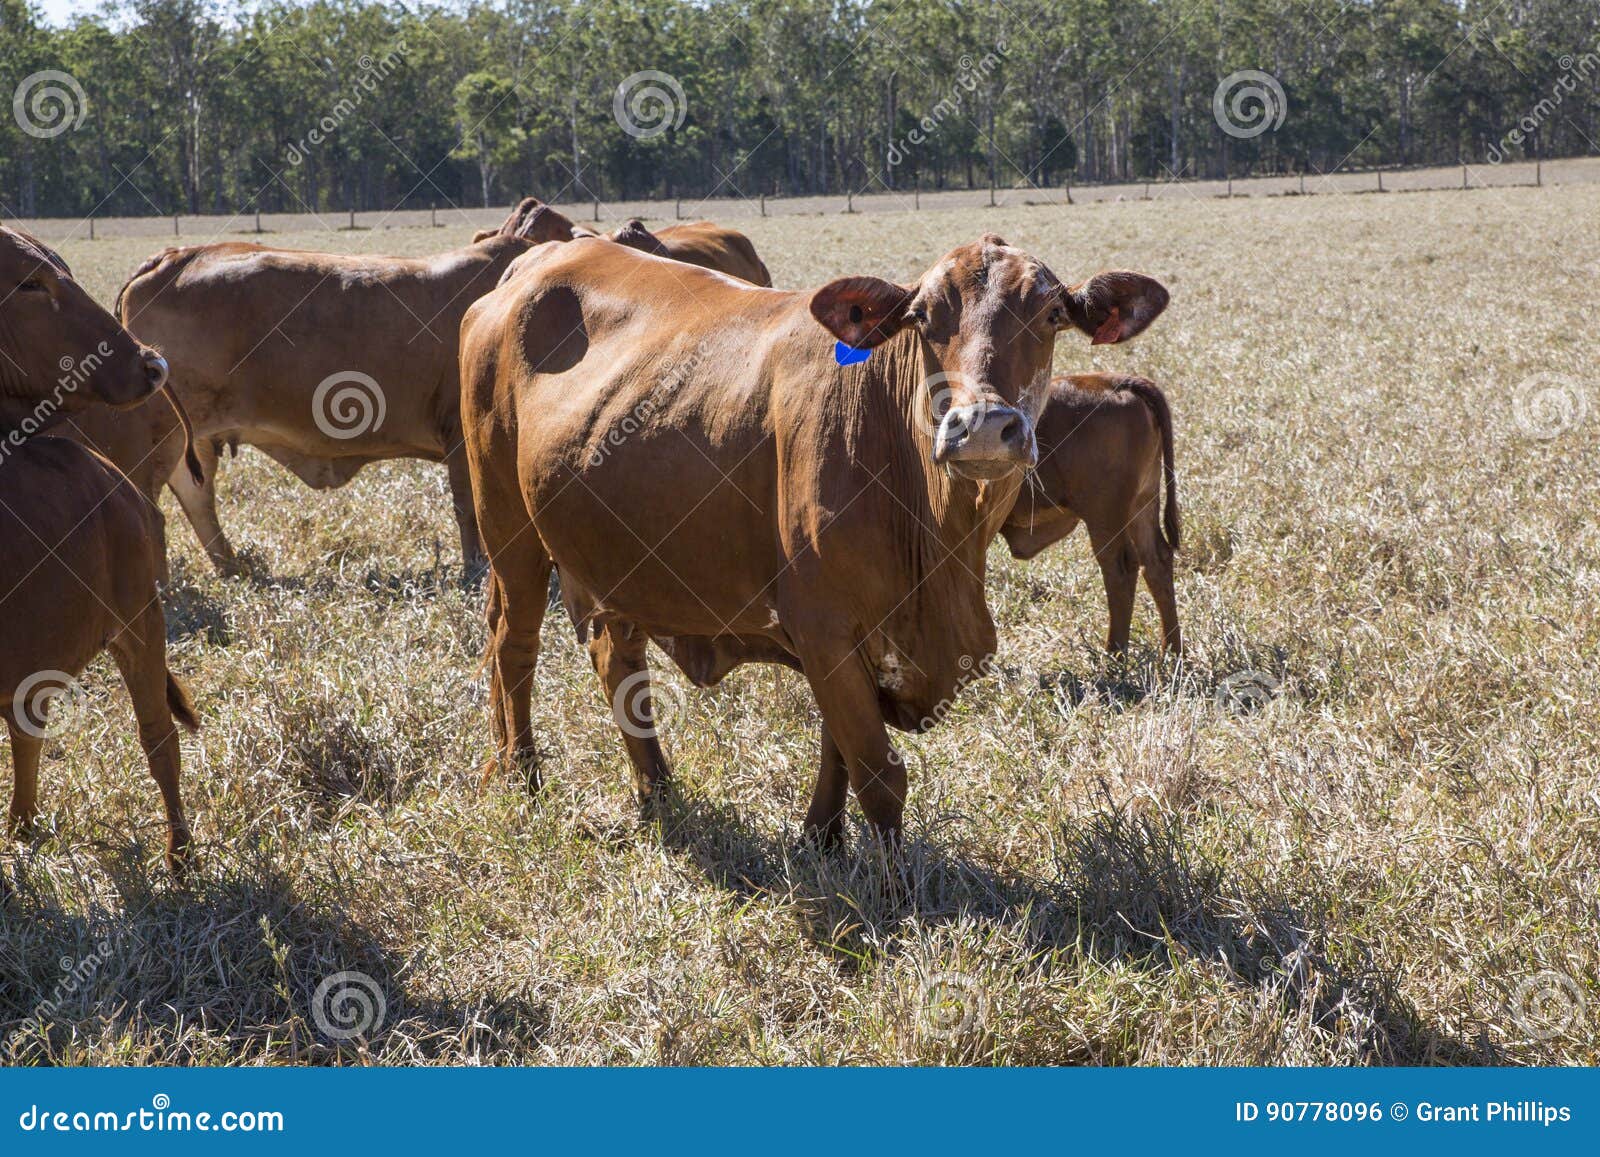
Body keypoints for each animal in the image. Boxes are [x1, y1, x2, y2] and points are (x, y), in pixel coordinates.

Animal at [0, 226, 199, 872]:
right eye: (29, 284)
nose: (153, 364)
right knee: (27, 732)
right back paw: (21, 825)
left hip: (140, 620)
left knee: (158, 736)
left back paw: (180, 853)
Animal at [1001, 372, 1182, 654]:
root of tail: (1114, 380)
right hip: (1141, 506)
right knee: (1156, 561)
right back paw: (1172, 651)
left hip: (1104, 519)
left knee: (1120, 568)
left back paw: (1114, 653)